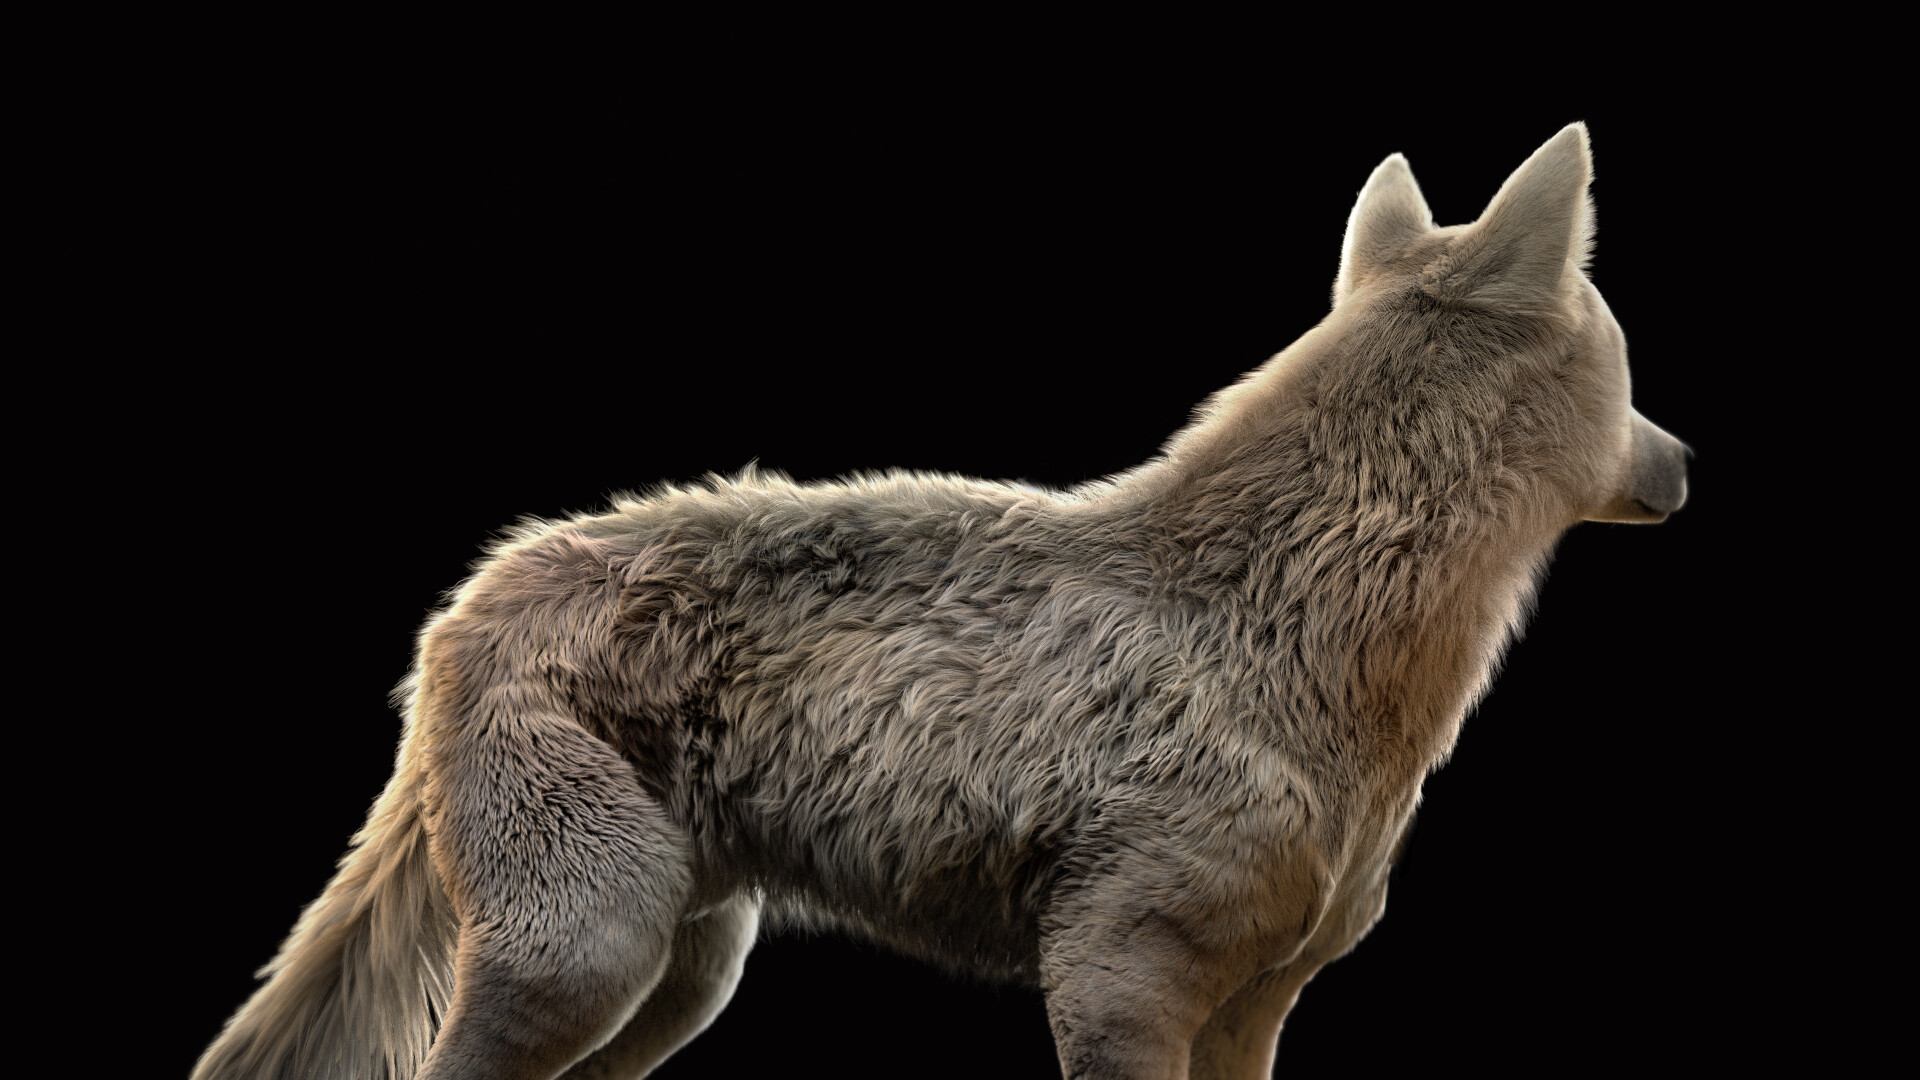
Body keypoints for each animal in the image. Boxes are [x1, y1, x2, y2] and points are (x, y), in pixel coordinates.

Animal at [193, 123, 1687, 1080]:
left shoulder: (1251, 1014)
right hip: (588, 956)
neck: (1295, 652)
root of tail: (469, 597)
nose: (1684, 461)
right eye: (1628, 368)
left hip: (677, 981)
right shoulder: (1121, 981)